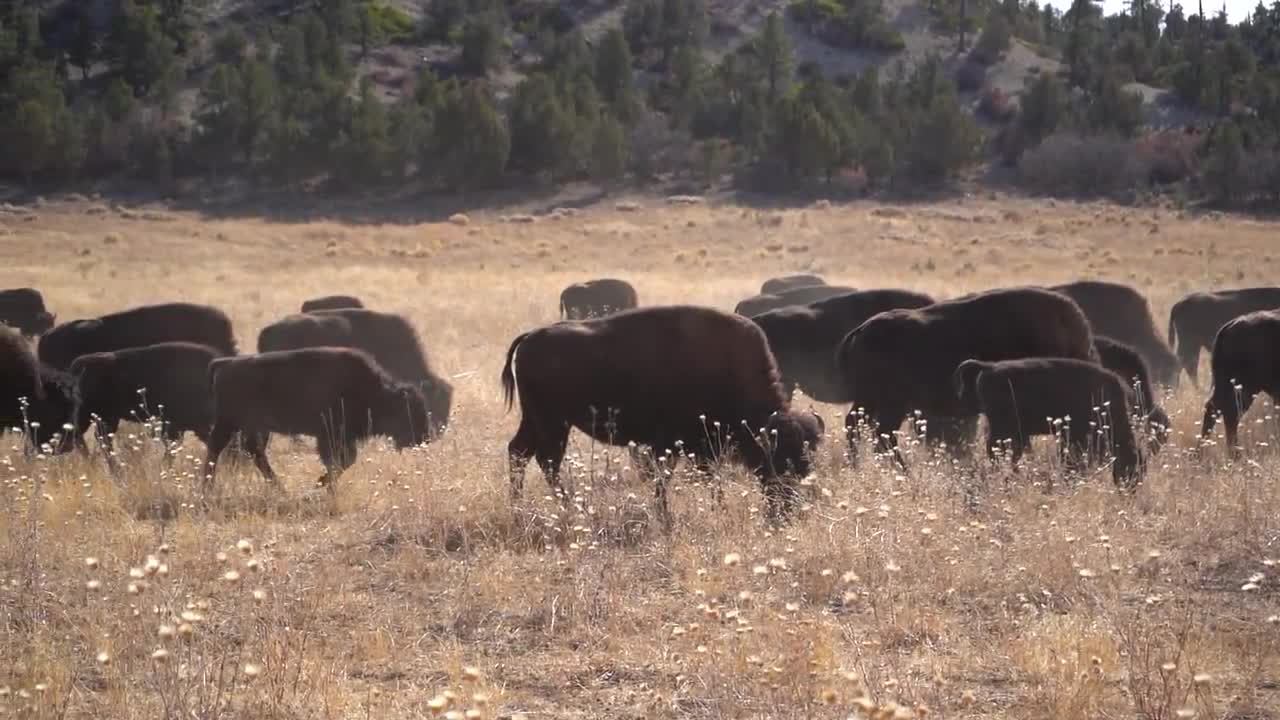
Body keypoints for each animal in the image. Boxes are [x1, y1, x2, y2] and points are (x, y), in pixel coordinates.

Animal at [203, 348, 433, 488]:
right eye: (410, 411)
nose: (425, 436)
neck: (374, 392)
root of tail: (222, 365)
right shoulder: (331, 435)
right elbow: (340, 461)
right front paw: (322, 483)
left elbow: (344, 461)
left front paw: (322, 483)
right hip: (228, 423)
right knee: (216, 449)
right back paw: (207, 488)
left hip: (254, 427)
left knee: (254, 452)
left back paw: (279, 488)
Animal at [500, 305, 824, 519]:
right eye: (778, 459)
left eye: (806, 463)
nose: (786, 510)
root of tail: (530, 337)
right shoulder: (673, 443)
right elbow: (669, 478)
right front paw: (668, 513)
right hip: (553, 422)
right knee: (546, 460)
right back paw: (568, 507)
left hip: (537, 420)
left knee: (520, 452)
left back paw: (520, 506)